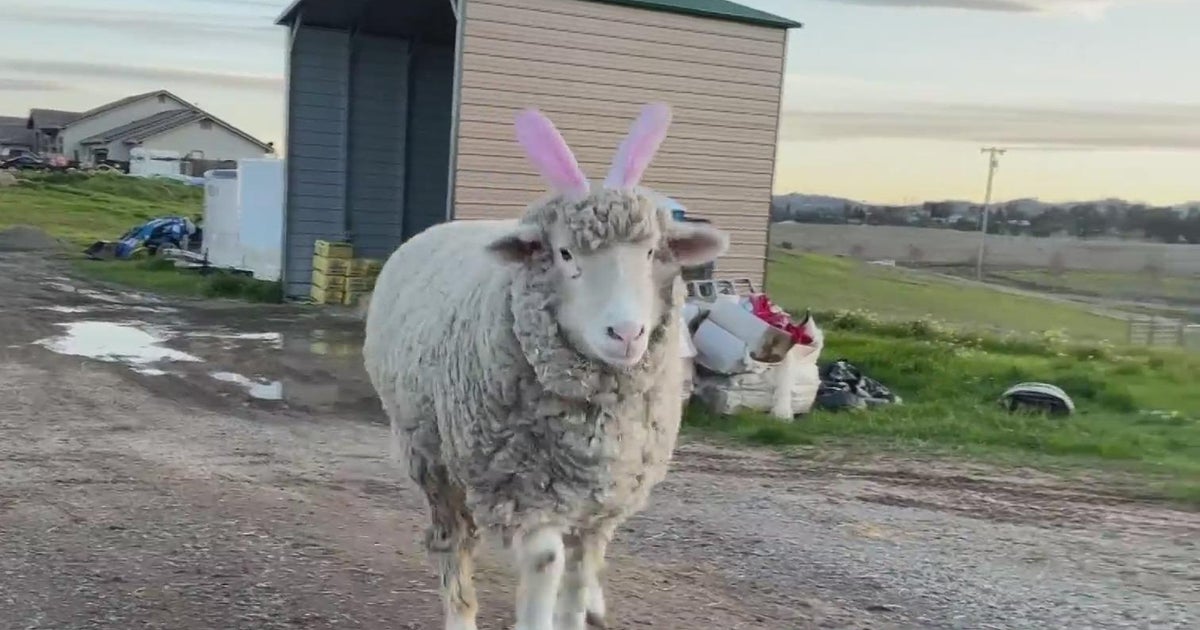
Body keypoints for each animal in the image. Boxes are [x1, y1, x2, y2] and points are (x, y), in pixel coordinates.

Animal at [362, 102, 729, 630]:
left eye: (651, 252)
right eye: (564, 253)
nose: (626, 333)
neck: (593, 419)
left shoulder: (602, 497)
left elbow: (580, 568)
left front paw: (578, 608)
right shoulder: (524, 488)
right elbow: (547, 562)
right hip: (428, 453)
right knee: (453, 541)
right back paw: (460, 608)